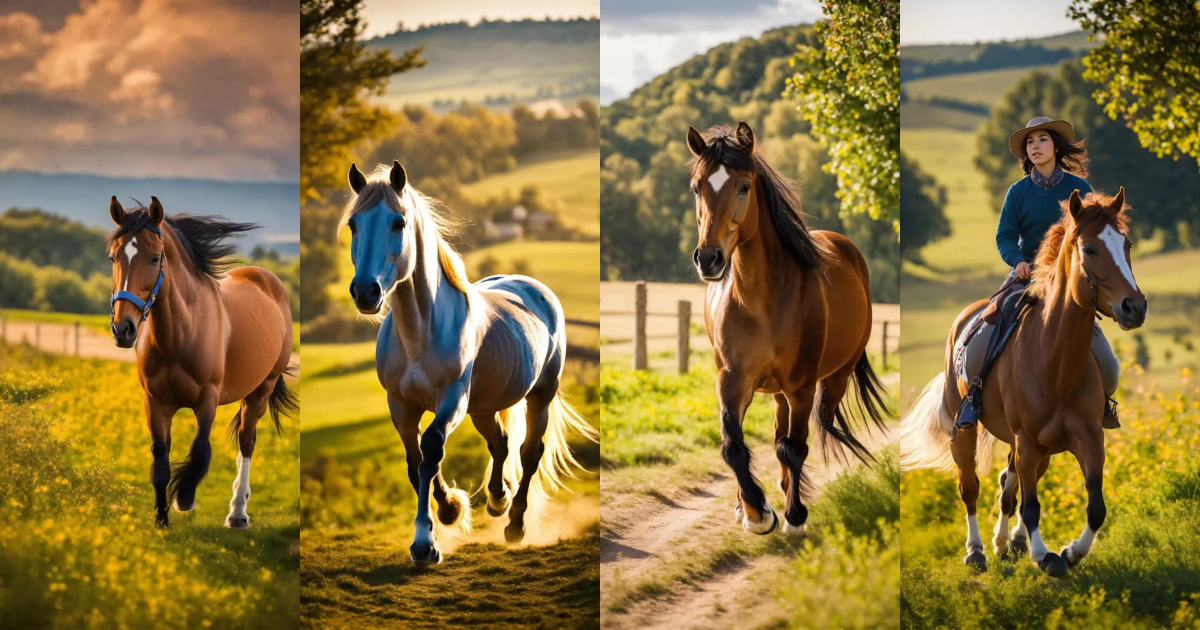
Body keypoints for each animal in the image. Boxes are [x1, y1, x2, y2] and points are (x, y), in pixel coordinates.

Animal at [107, 197, 297, 529]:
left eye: (155, 258)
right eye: (113, 258)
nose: (123, 329)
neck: (180, 333)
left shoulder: (207, 400)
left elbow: (198, 450)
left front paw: (184, 499)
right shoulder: (155, 402)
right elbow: (160, 458)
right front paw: (161, 519)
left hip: (261, 391)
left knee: (247, 441)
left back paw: (238, 513)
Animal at [342, 161, 597, 565]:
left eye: (398, 222)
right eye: (354, 224)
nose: (366, 292)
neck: (421, 333)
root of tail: (534, 288)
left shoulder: (453, 400)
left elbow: (431, 450)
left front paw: (426, 543)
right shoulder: (401, 405)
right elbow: (415, 462)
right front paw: (449, 510)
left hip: (539, 396)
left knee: (529, 453)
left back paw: (515, 525)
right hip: (483, 407)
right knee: (501, 444)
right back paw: (497, 499)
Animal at [686, 122, 889, 536]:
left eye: (744, 185)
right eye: (697, 187)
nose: (709, 259)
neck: (761, 301)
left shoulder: (801, 388)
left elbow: (793, 448)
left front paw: (794, 515)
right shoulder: (731, 381)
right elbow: (733, 446)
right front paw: (756, 511)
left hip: (832, 380)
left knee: (794, 437)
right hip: (772, 390)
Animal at [900, 189, 1146, 576]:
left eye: (1127, 243)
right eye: (1090, 248)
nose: (1135, 307)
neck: (1054, 363)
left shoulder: (1089, 439)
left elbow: (1095, 507)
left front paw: (1071, 552)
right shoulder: (1027, 442)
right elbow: (1030, 506)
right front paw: (1044, 556)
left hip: (1039, 448)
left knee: (1008, 482)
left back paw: (1008, 542)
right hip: (967, 432)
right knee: (971, 486)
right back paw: (977, 551)